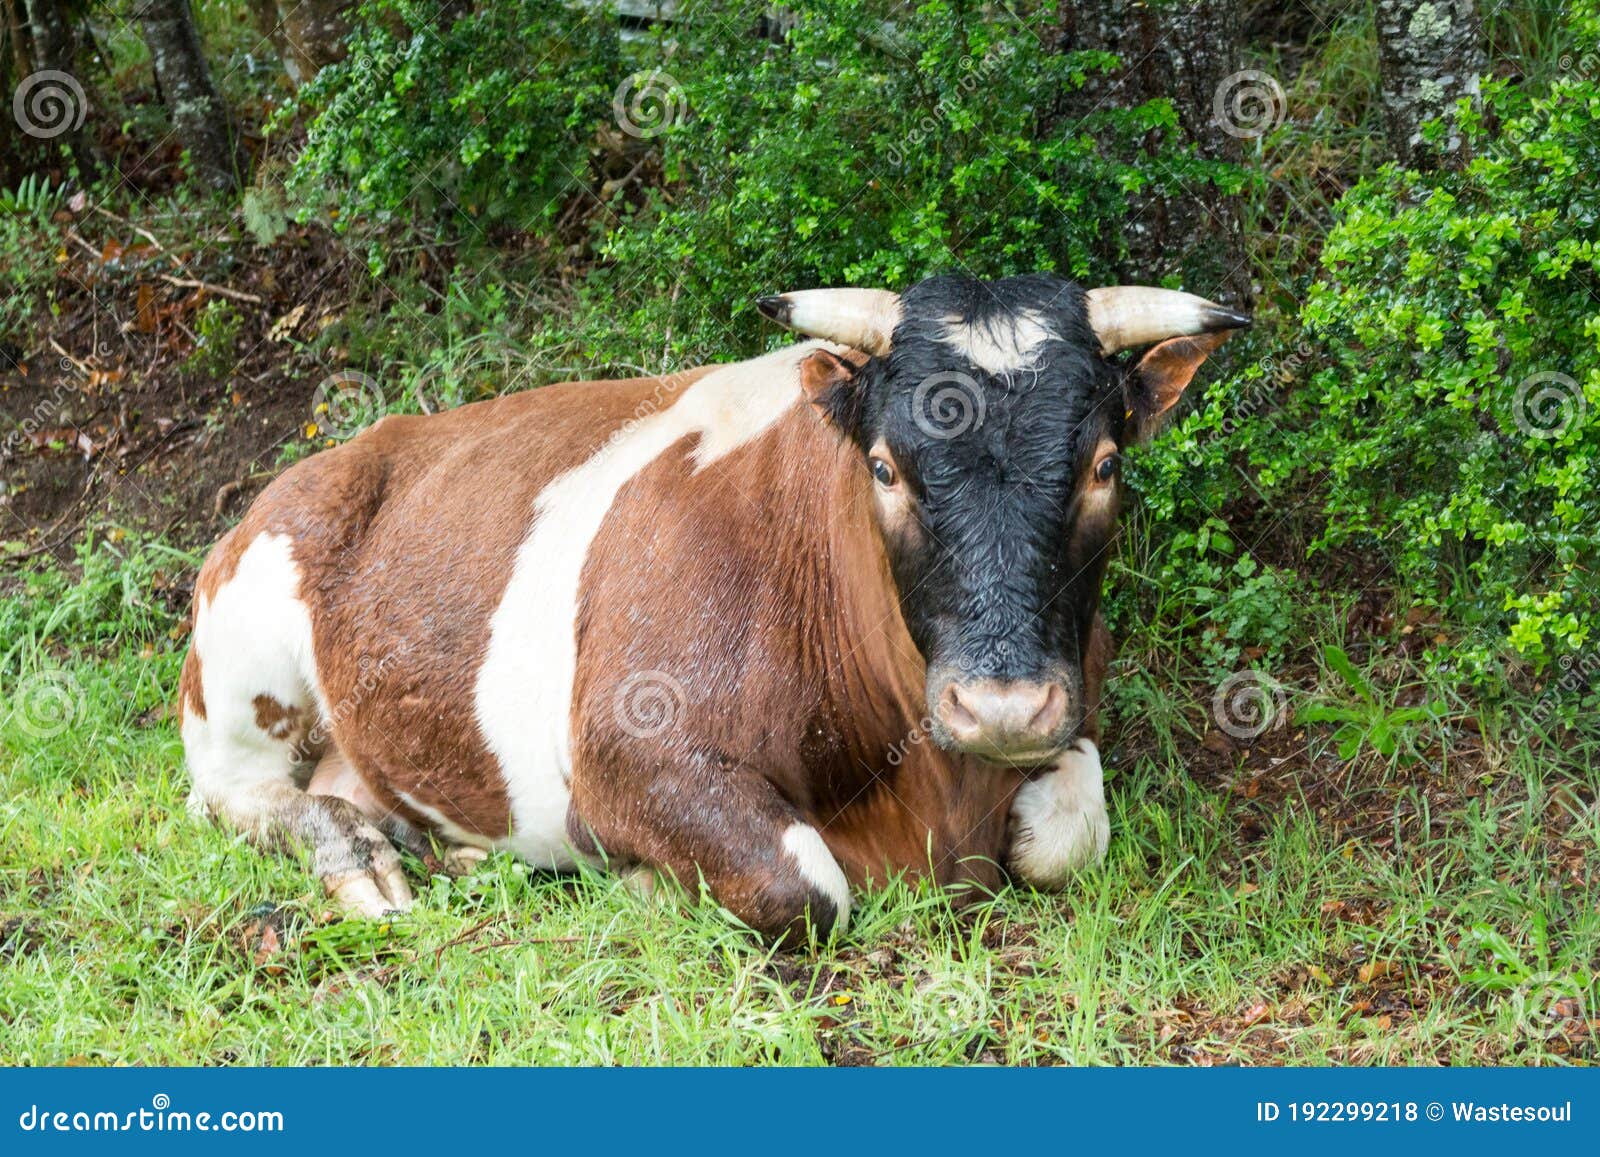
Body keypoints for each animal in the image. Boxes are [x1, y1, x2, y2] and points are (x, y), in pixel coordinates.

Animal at [179, 273, 1246, 943]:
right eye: (883, 467)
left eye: (1104, 465)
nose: (1001, 705)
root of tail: (356, 447)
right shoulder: (632, 749)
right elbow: (806, 886)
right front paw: (643, 883)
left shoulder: (1073, 704)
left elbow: (1070, 830)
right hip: (238, 654)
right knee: (240, 796)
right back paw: (363, 856)